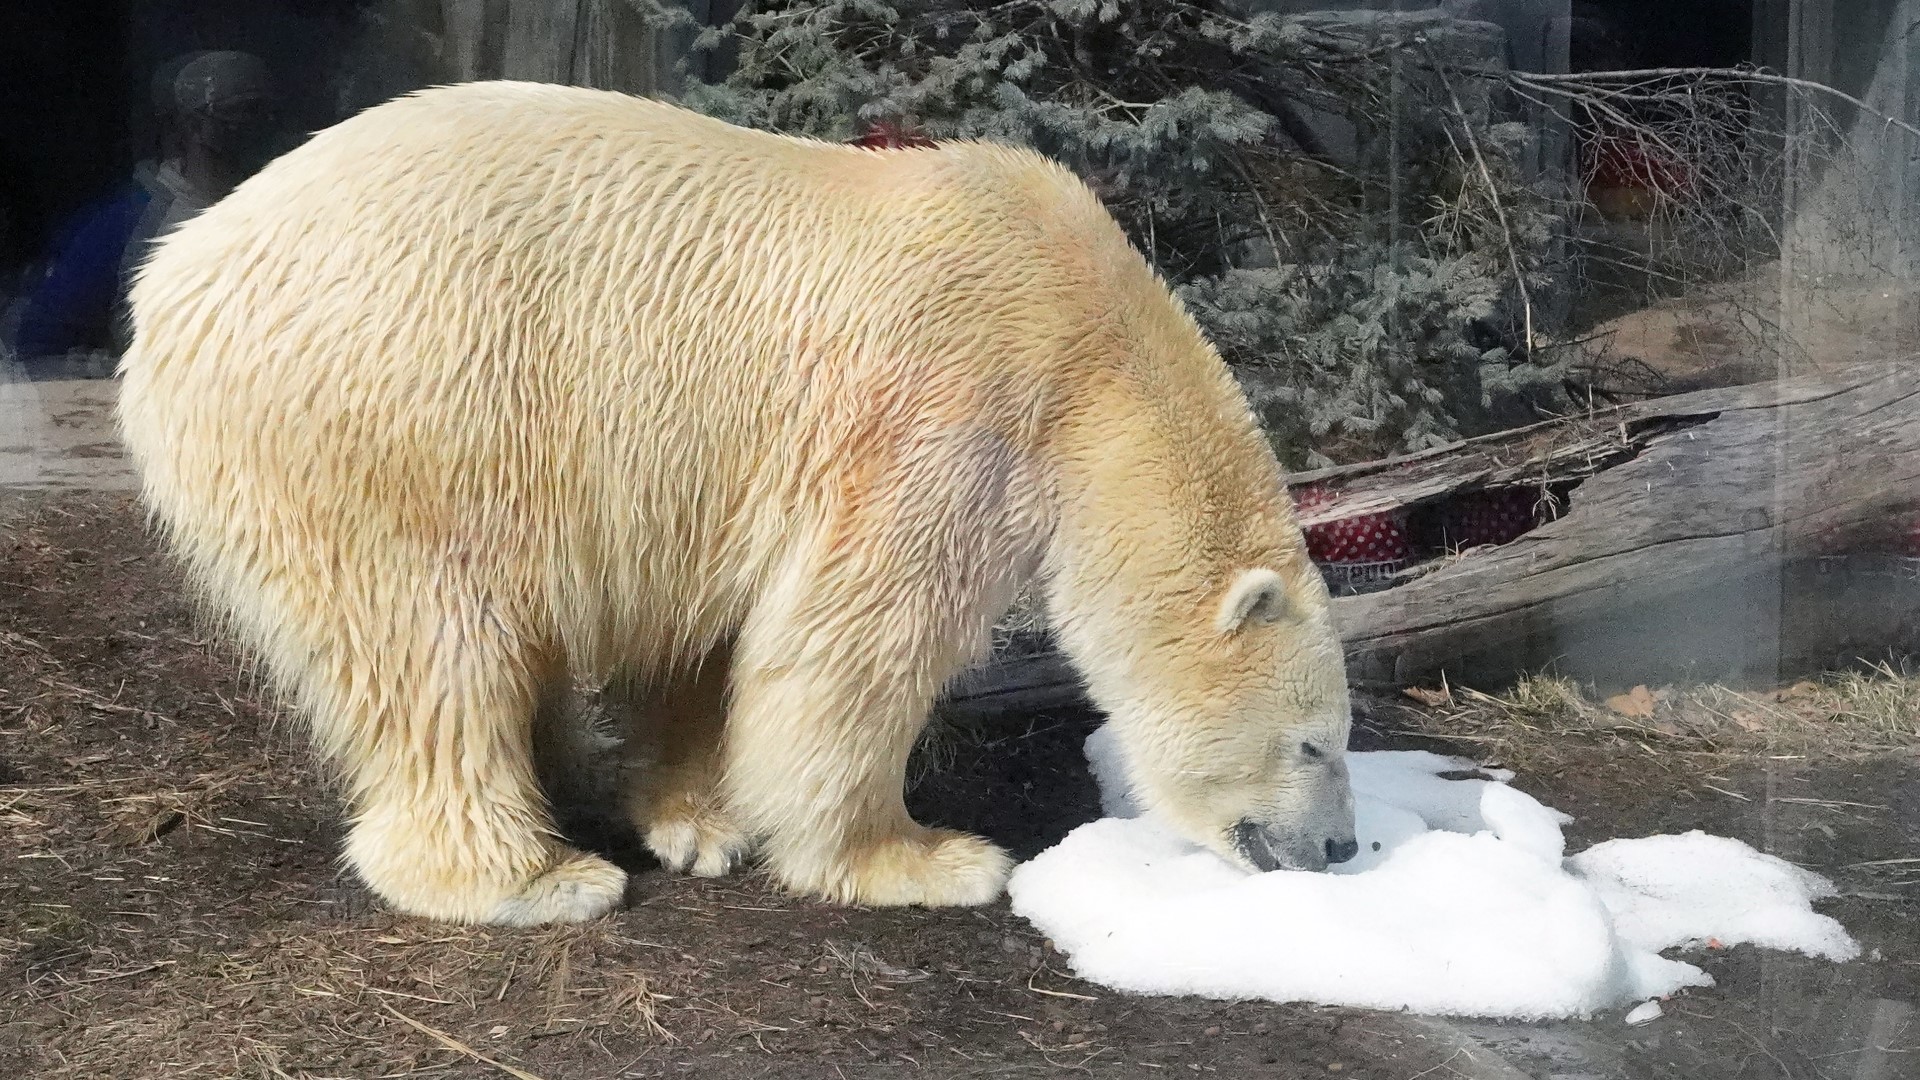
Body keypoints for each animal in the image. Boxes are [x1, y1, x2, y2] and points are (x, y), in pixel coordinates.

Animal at [116, 81, 1358, 926]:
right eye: (1313, 742)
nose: (1344, 849)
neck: (1093, 349)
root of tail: (168, 288)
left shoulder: (715, 481)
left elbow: (710, 637)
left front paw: (699, 823)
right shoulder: (951, 407)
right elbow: (854, 643)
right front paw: (926, 857)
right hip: (398, 424)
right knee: (433, 646)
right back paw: (532, 876)